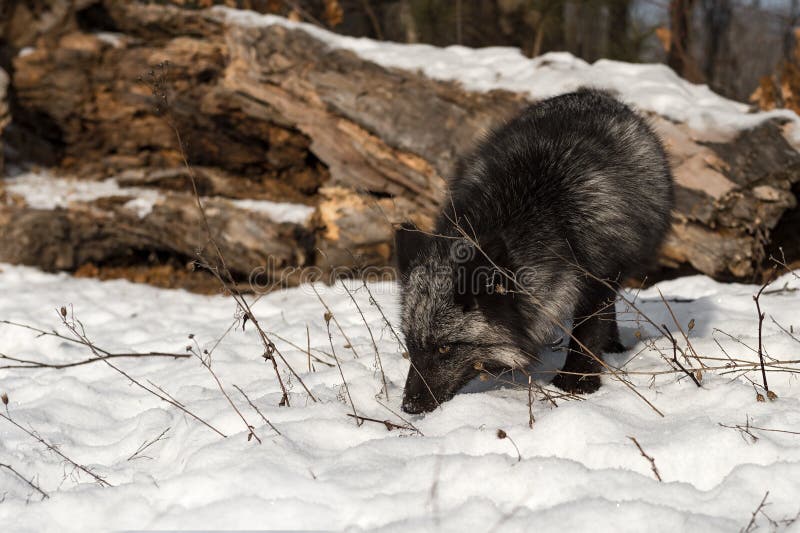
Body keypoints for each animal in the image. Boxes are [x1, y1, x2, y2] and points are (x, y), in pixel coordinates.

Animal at [395, 88, 674, 414]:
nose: (409, 406)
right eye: (411, 344)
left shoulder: (599, 273)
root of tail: (592, 93)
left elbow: (589, 329)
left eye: (445, 347)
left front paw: (577, 383)